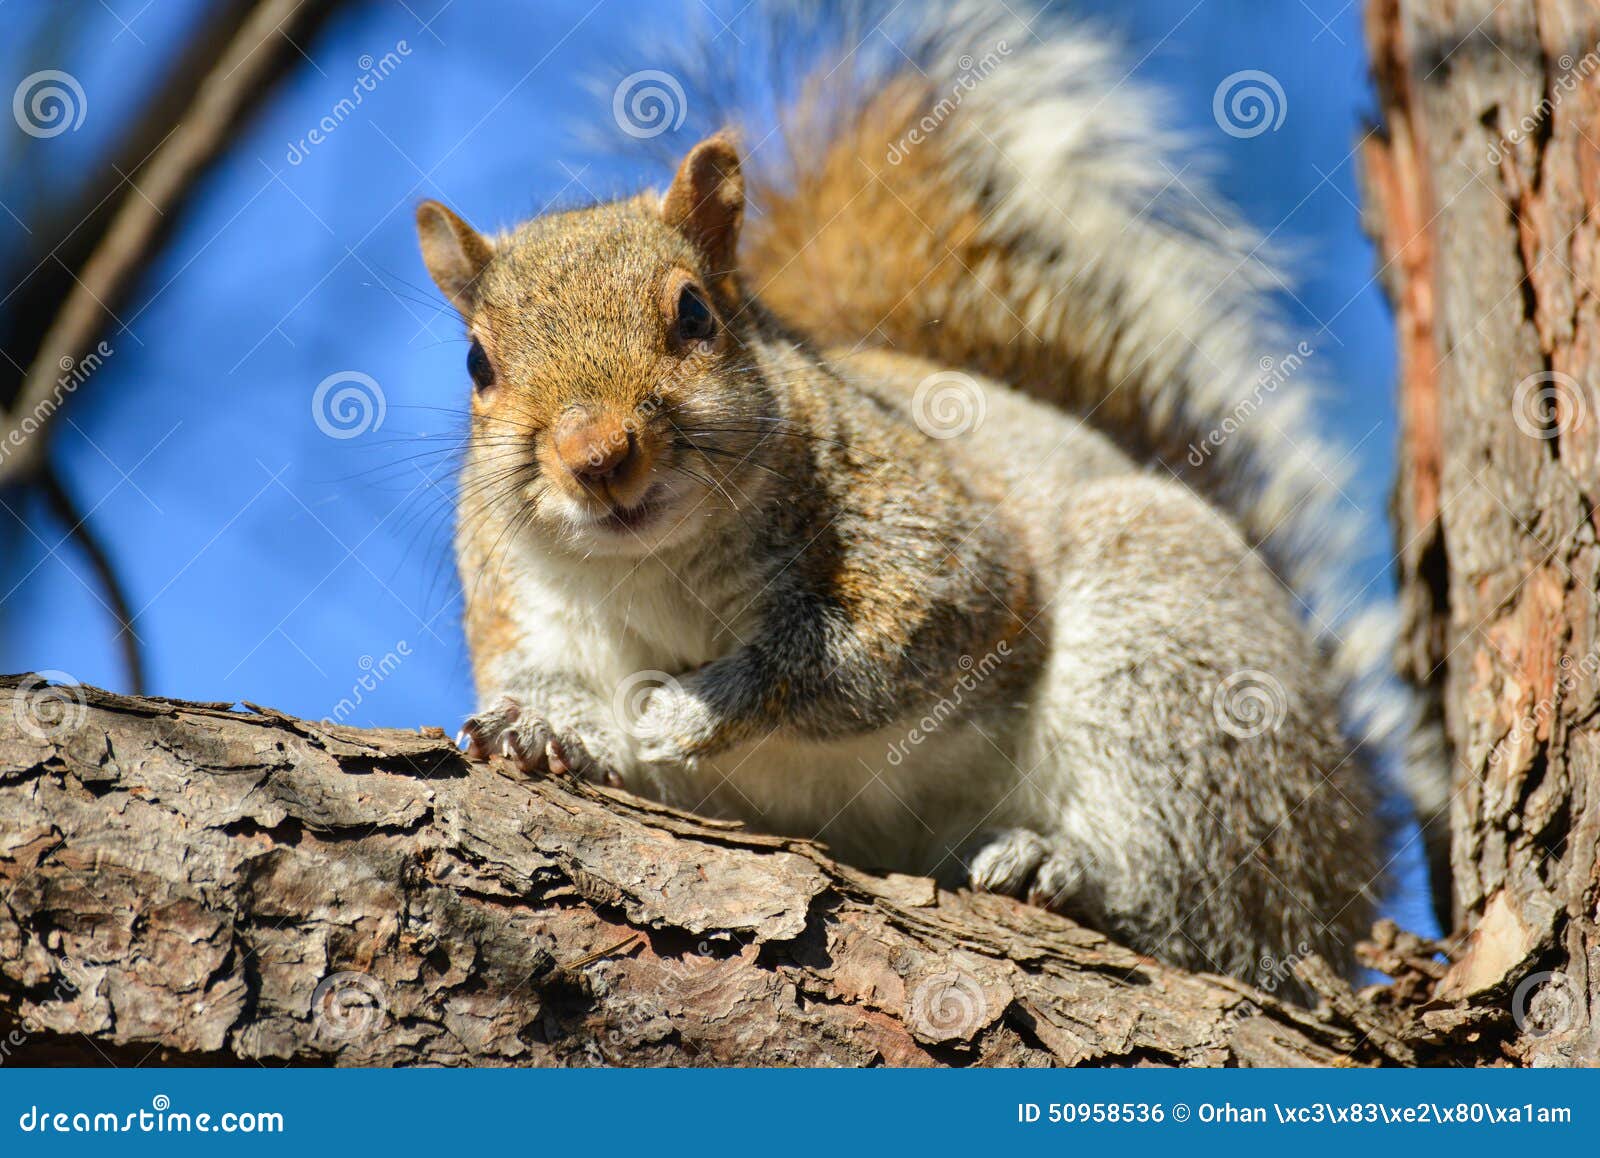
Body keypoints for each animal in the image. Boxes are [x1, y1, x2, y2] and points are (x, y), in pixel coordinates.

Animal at [414, 3, 1446, 990]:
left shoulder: (934, 543)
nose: (597, 456)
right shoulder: (525, 605)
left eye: (694, 312)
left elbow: (868, 651)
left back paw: (1071, 871)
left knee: (1216, 910)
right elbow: (563, 695)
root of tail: (1351, 857)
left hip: (1176, 665)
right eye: (477, 366)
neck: (652, 563)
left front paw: (696, 708)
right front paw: (540, 729)